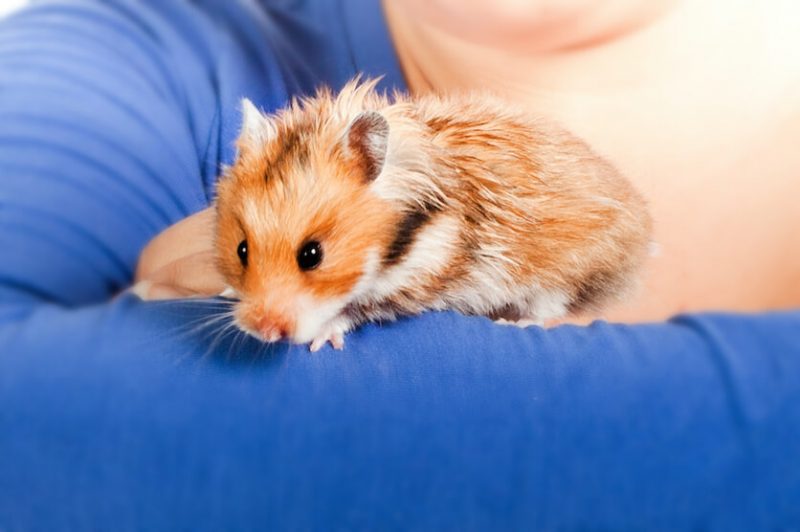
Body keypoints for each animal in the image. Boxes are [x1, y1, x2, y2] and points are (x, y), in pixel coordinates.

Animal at [214, 78, 652, 351]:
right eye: (241, 250)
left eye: (312, 254)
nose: (262, 332)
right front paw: (227, 292)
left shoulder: (425, 273)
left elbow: (360, 308)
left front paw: (323, 338)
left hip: (567, 271)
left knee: (552, 307)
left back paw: (516, 322)